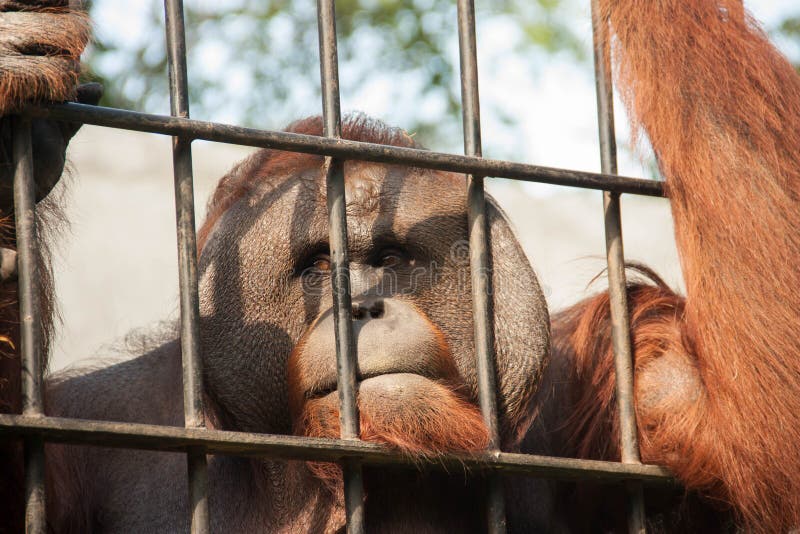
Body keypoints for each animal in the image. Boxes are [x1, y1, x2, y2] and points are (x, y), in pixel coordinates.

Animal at [1, 0, 800, 532]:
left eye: (388, 259)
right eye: (321, 266)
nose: (361, 305)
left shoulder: (598, 373)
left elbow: (744, 435)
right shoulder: (112, 415)